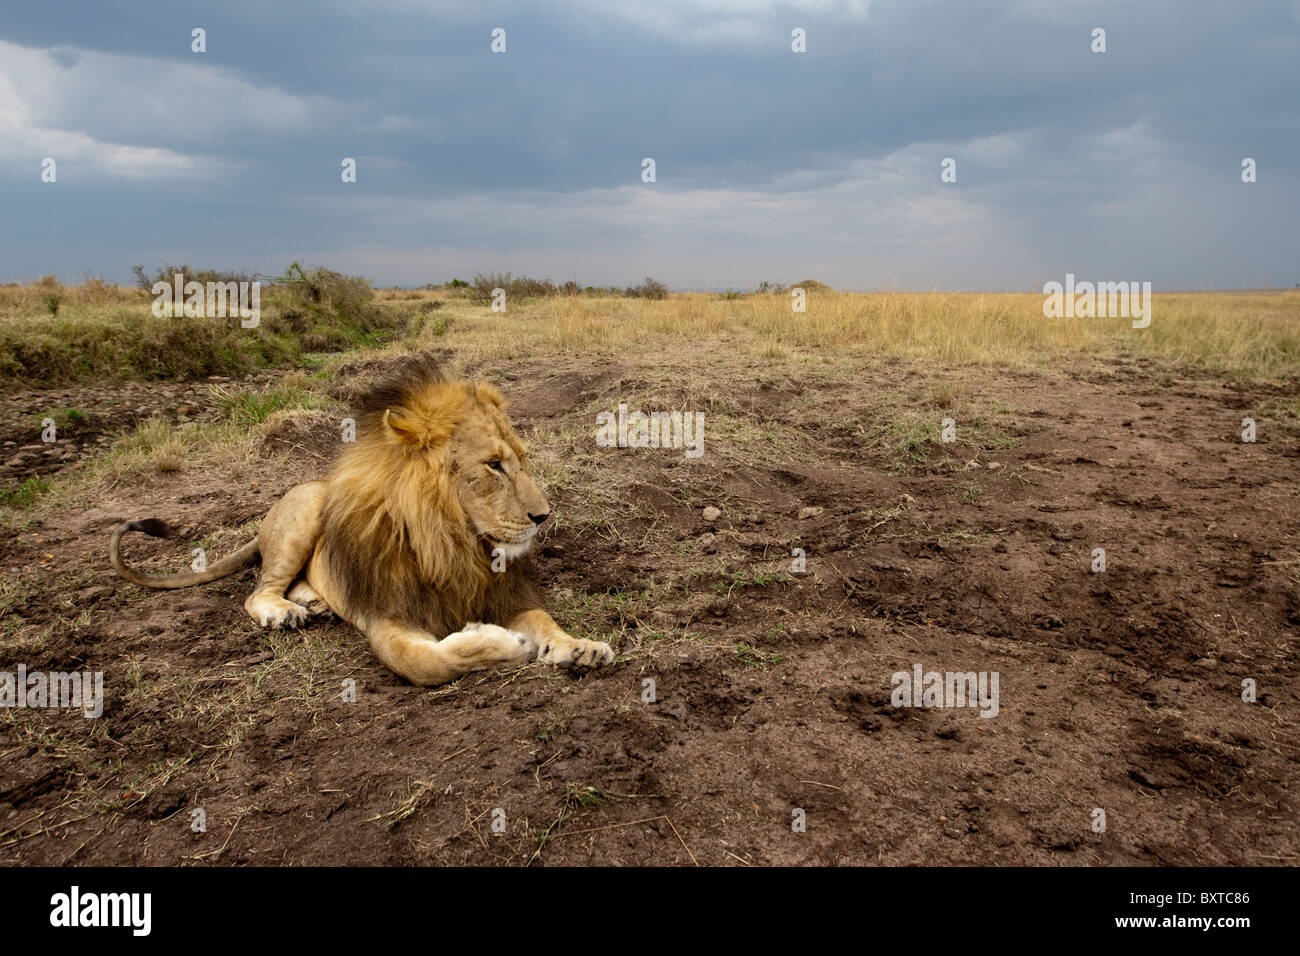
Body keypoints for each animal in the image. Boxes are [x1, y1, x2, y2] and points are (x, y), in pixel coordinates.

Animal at [109, 355, 616, 687]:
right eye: (493, 465)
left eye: (522, 460)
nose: (543, 516)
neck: (450, 543)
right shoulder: (387, 616)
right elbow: (425, 663)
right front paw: (504, 644)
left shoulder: (500, 593)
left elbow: (544, 620)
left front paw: (578, 646)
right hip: (306, 514)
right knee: (258, 591)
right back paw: (283, 611)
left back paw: (312, 602)